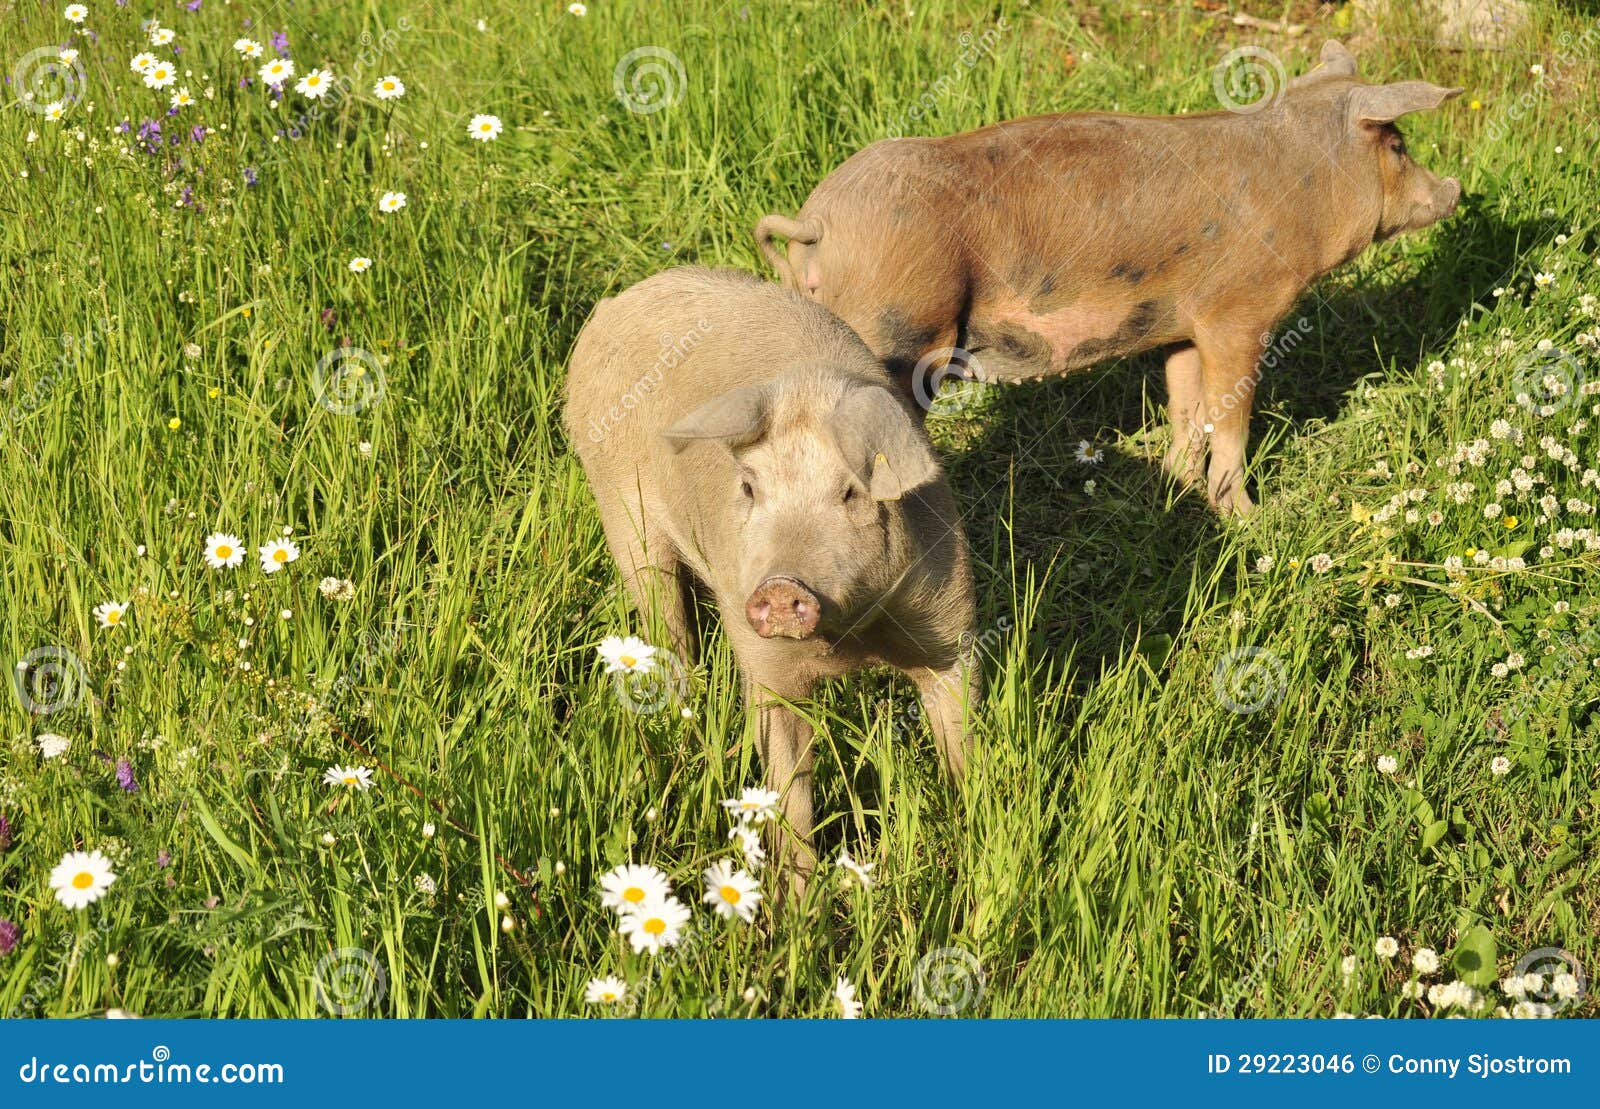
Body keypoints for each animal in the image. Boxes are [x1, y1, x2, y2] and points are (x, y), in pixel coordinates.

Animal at [564, 266, 979, 886]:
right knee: (662, 617)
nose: (783, 586)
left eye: (851, 492)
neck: (849, 639)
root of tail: (618, 302)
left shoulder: (949, 623)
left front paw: (977, 826)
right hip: (617, 501)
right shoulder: (761, 655)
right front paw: (796, 901)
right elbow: (787, 787)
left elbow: (962, 737)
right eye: (749, 487)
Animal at [755, 40, 1462, 514]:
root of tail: (817, 221)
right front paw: (1248, 517)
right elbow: (1230, 417)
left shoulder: (1181, 321)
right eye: (1397, 144)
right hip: (897, 331)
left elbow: (1187, 407)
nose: (1454, 188)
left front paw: (1176, 488)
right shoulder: (1239, 312)